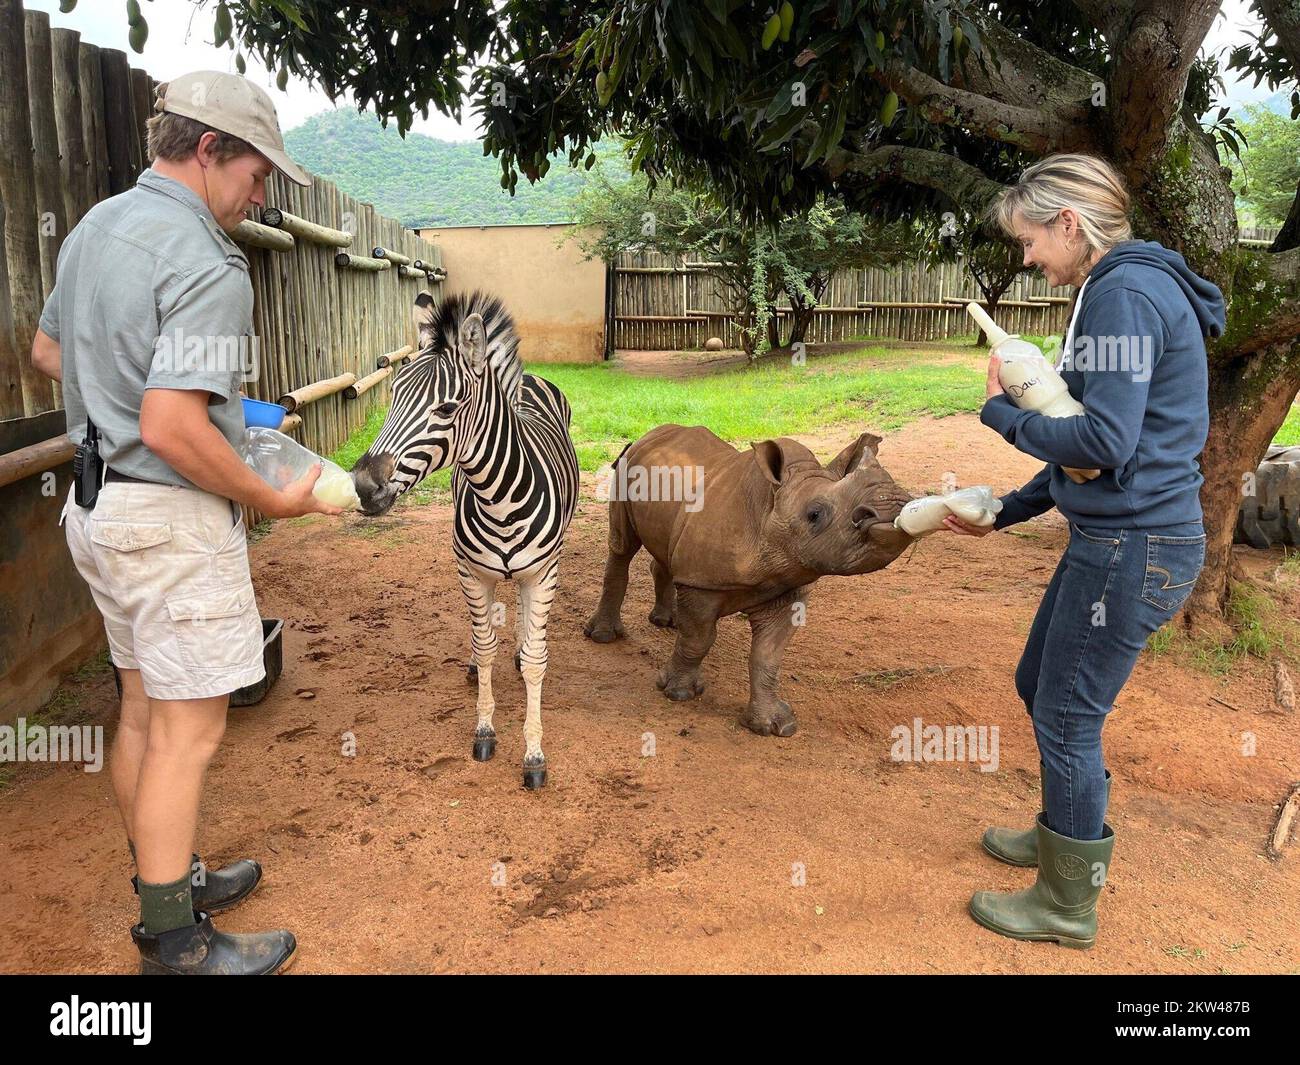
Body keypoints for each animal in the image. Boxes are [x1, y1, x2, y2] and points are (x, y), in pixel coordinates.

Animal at [351, 291, 580, 789]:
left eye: (446, 409)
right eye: (392, 396)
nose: (361, 485)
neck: (500, 500)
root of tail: (527, 379)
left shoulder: (544, 573)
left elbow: (536, 658)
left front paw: (534, 754)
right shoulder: (471, 572)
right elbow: (485, 644)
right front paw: (485, 728)